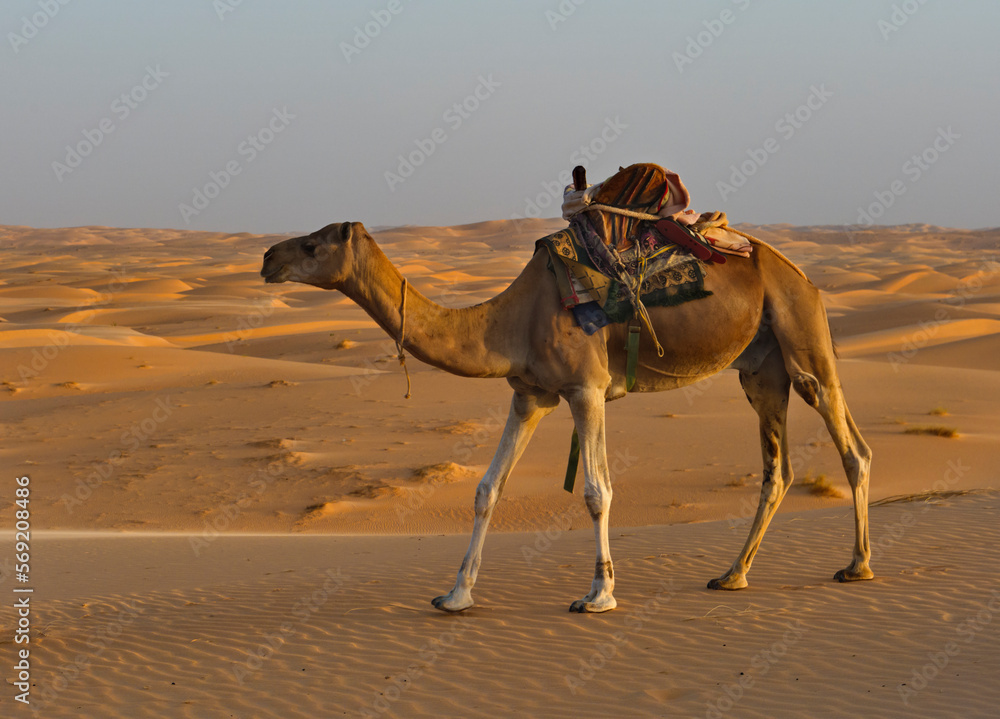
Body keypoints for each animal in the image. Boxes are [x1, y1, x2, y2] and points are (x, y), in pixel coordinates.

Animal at [260, 220, 872, 613]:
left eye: (312, 245)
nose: (267, 258)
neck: (509, 319)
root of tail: (803, 276)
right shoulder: (530, 395)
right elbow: (487, 489)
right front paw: (455, 596)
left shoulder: (586, 388)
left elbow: (597, 491)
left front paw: (598, 595)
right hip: (761, 368)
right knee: (778, 469)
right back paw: (732, 576)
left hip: (803, 337)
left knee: (853, 448)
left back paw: (858, 566)